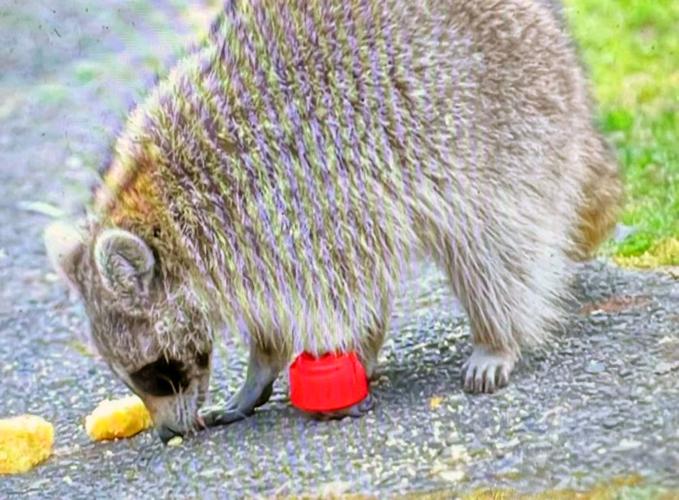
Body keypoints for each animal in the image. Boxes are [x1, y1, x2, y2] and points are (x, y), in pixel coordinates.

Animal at [44, 0, 622, 442]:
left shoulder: (286, 204)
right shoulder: (261, 238)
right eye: (136, 378)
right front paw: (261, 370)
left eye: (156, 373)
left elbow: (344, 296)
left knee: (489, 246)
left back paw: (495, 336)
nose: (168, 432)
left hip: (504, 125)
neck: (162, 208)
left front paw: (343, 360)